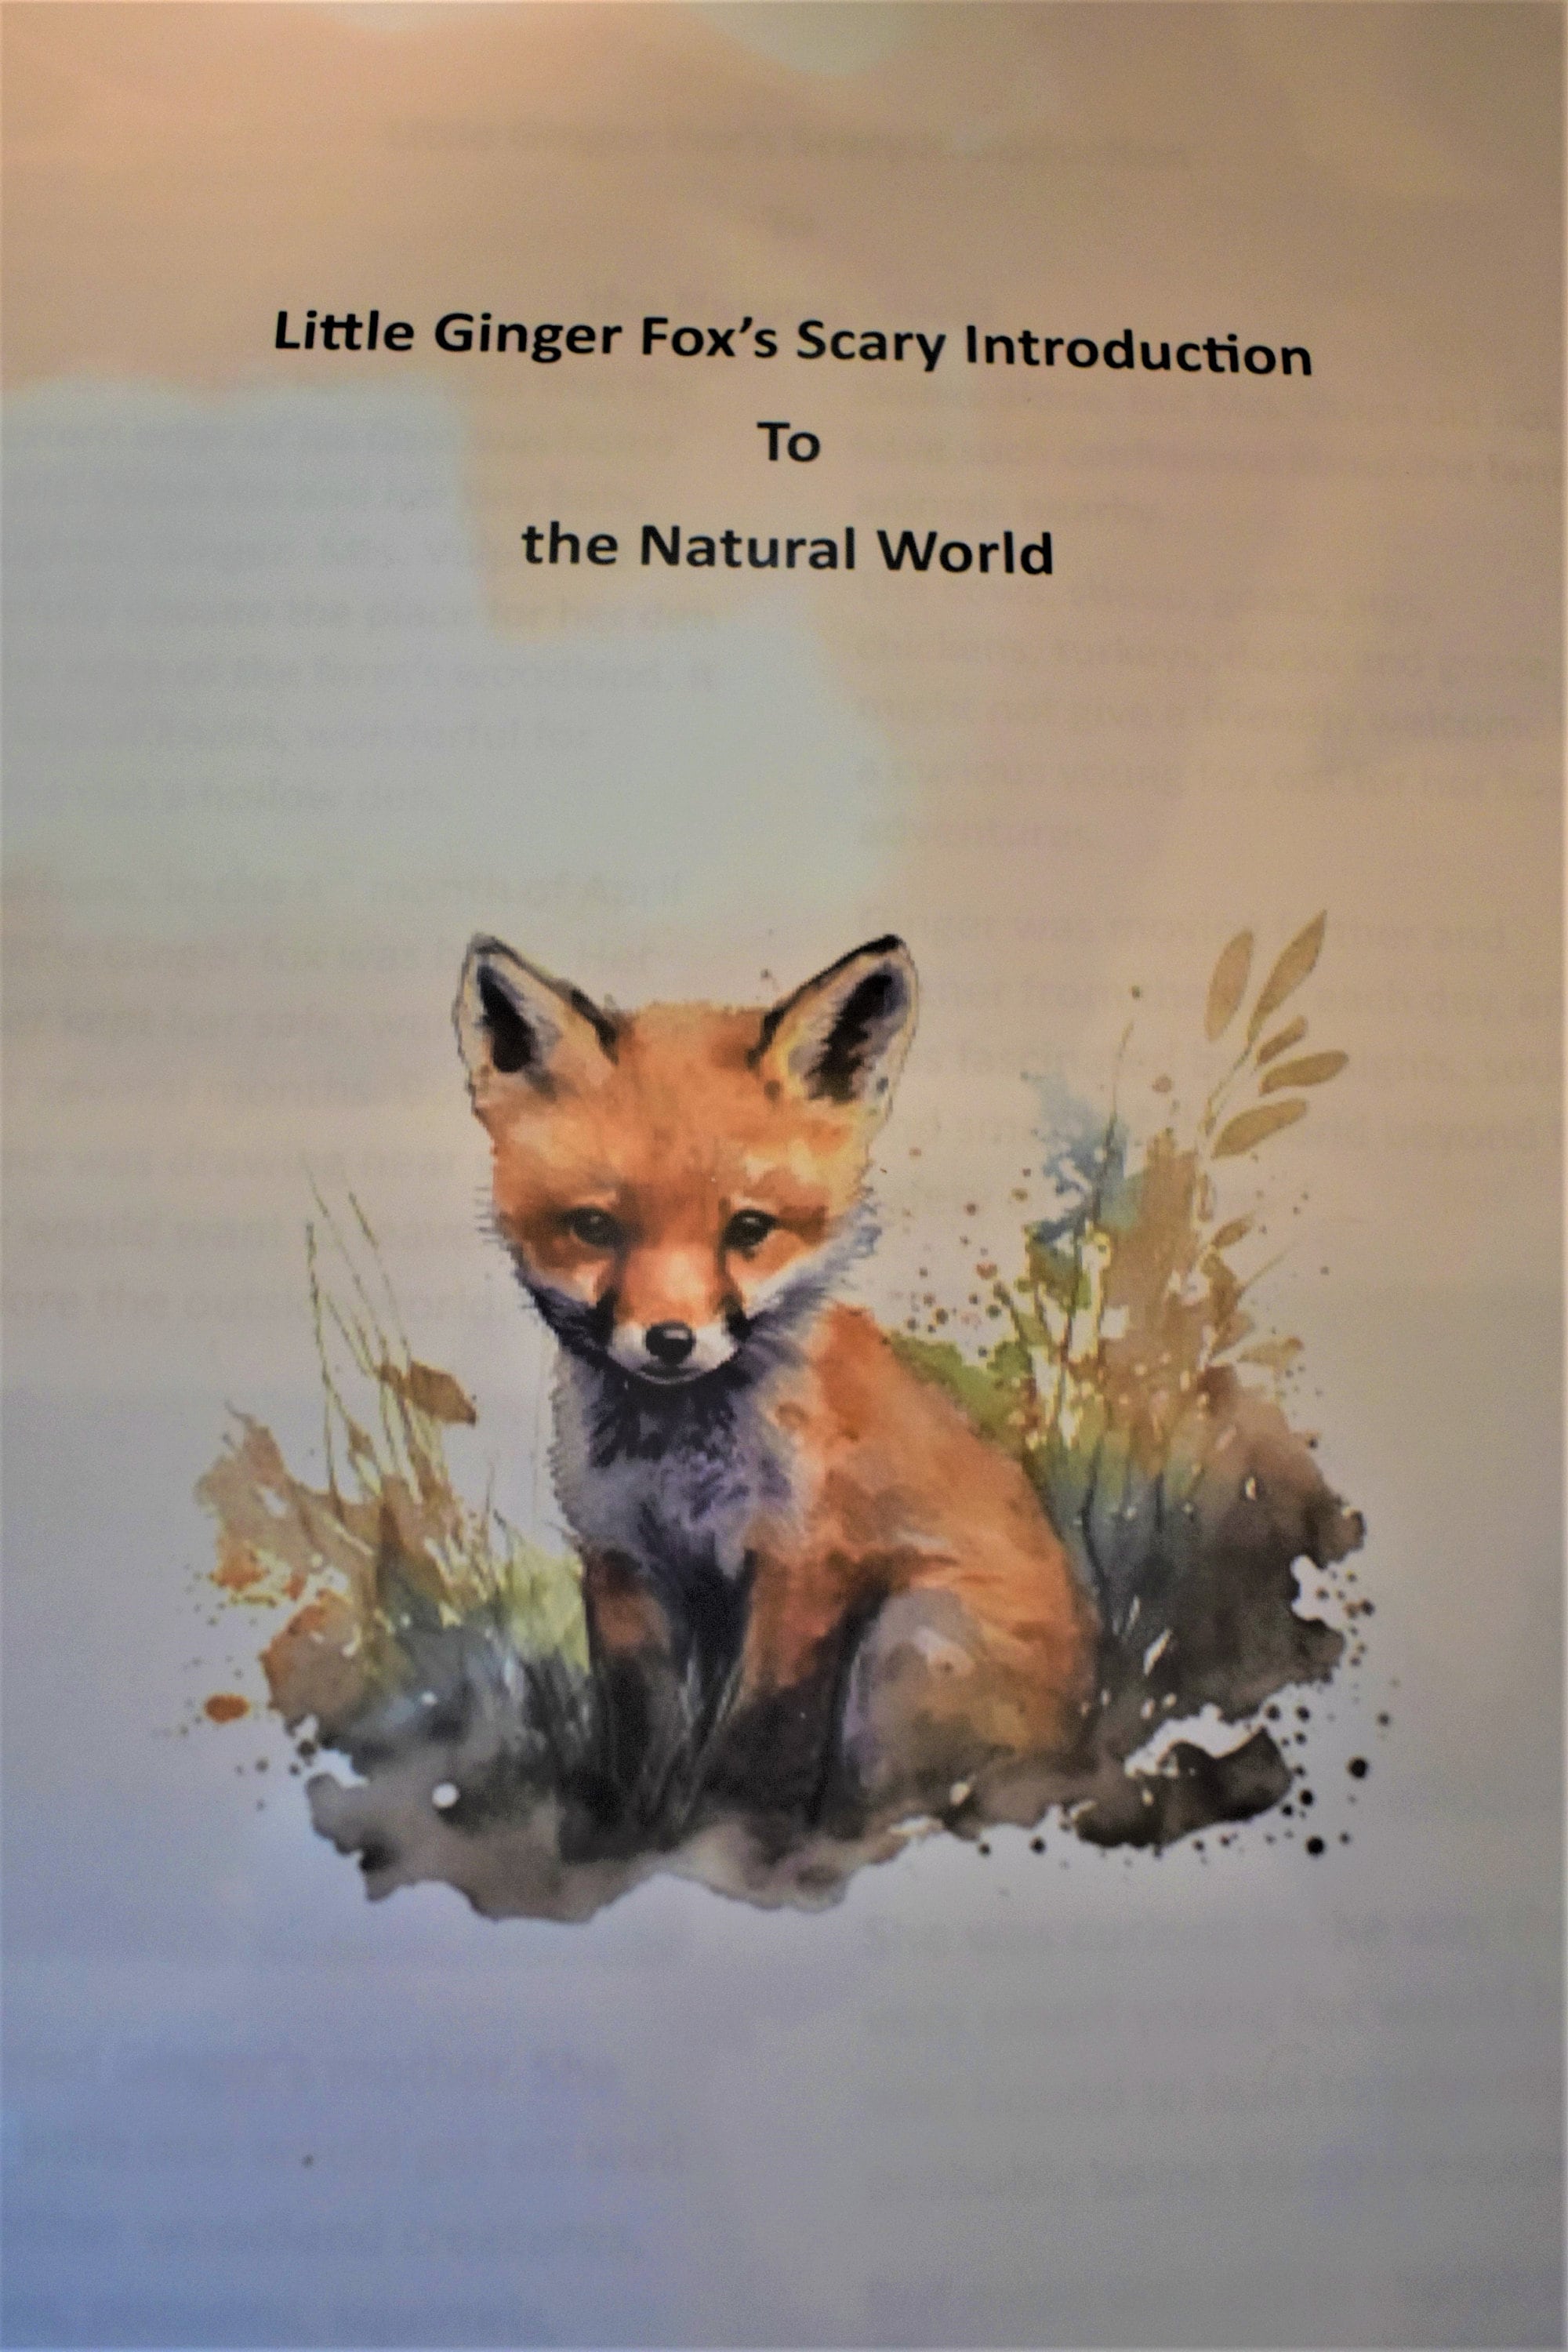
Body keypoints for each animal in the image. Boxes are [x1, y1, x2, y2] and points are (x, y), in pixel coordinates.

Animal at [455, 933, 1096, 1830]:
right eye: (594, 1228)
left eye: (749, 1229)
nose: (670, 1340)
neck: (680, 1471)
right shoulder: (622, 1561)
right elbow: (641, 1735)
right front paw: (633, 1832)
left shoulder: (803, 1565)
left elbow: (758, 1740)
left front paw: (725, 1835)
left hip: (906, 1642)